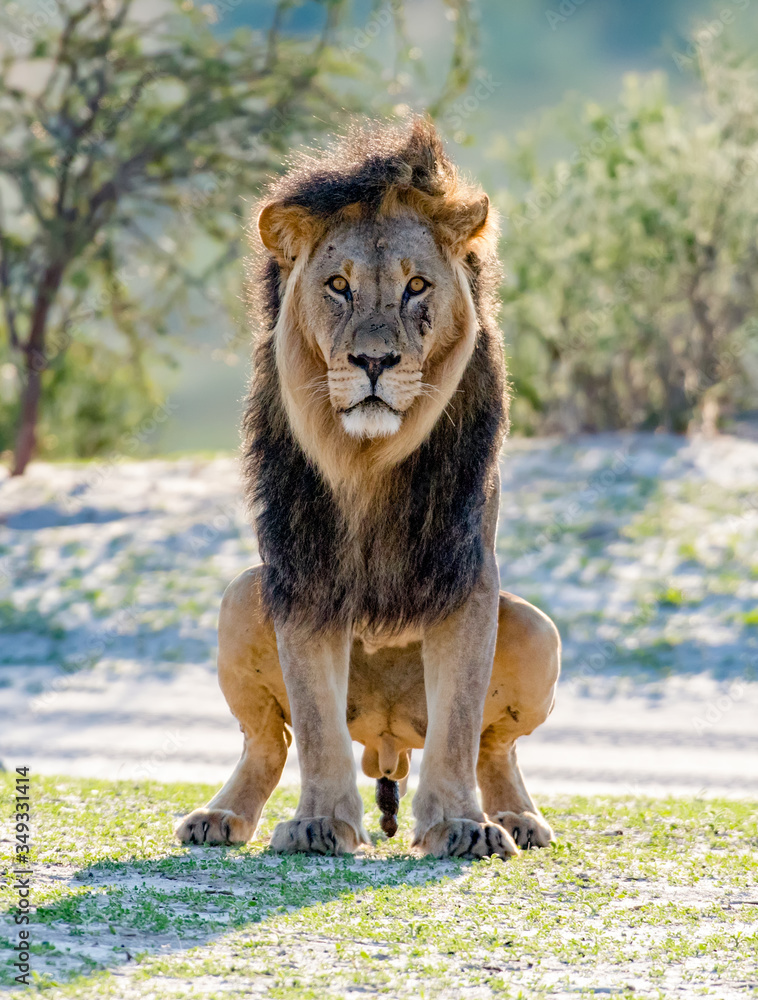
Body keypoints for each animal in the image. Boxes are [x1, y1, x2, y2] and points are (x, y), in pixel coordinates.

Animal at [176, 118, 561, 859]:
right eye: (338, 285)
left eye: (416, 286)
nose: (374, 362)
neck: (368, 458)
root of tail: (386, 739)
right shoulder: (302, 569)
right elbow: (313, 721)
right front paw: (320, 823)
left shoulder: (465, 571)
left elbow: (461, 718)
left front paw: (461, 825)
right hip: (242, 597)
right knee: (267, 742)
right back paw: (219, 817)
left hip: (535, 627)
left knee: (493, 747)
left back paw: (518, 820)